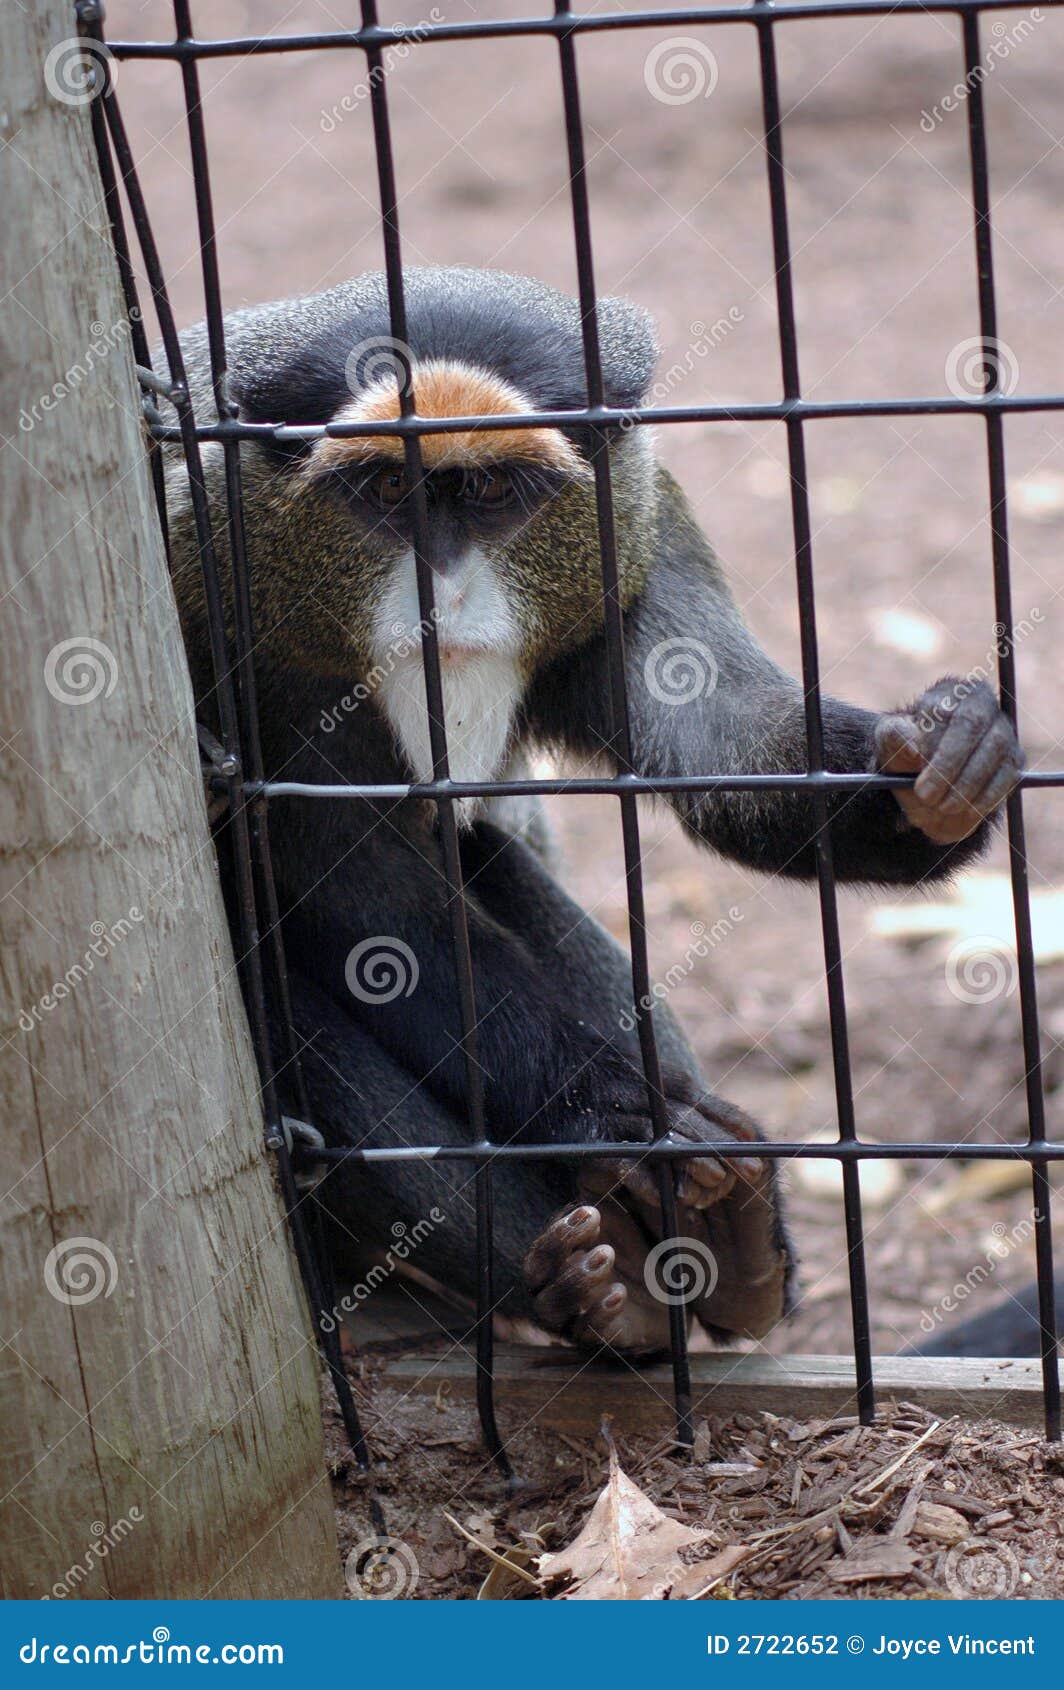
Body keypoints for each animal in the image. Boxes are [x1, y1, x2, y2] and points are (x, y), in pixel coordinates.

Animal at [163, 266, 1025, 1357]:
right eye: (390, 492)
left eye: (490, 491)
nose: (440, 592)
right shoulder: (226, 587)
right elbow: (362, 899)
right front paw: (610, 1119)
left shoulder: (640, 521)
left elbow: (724, 751)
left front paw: (929, 766)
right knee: (273, 977)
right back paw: (596, 1281)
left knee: (489, 859)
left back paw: (720, 1255)